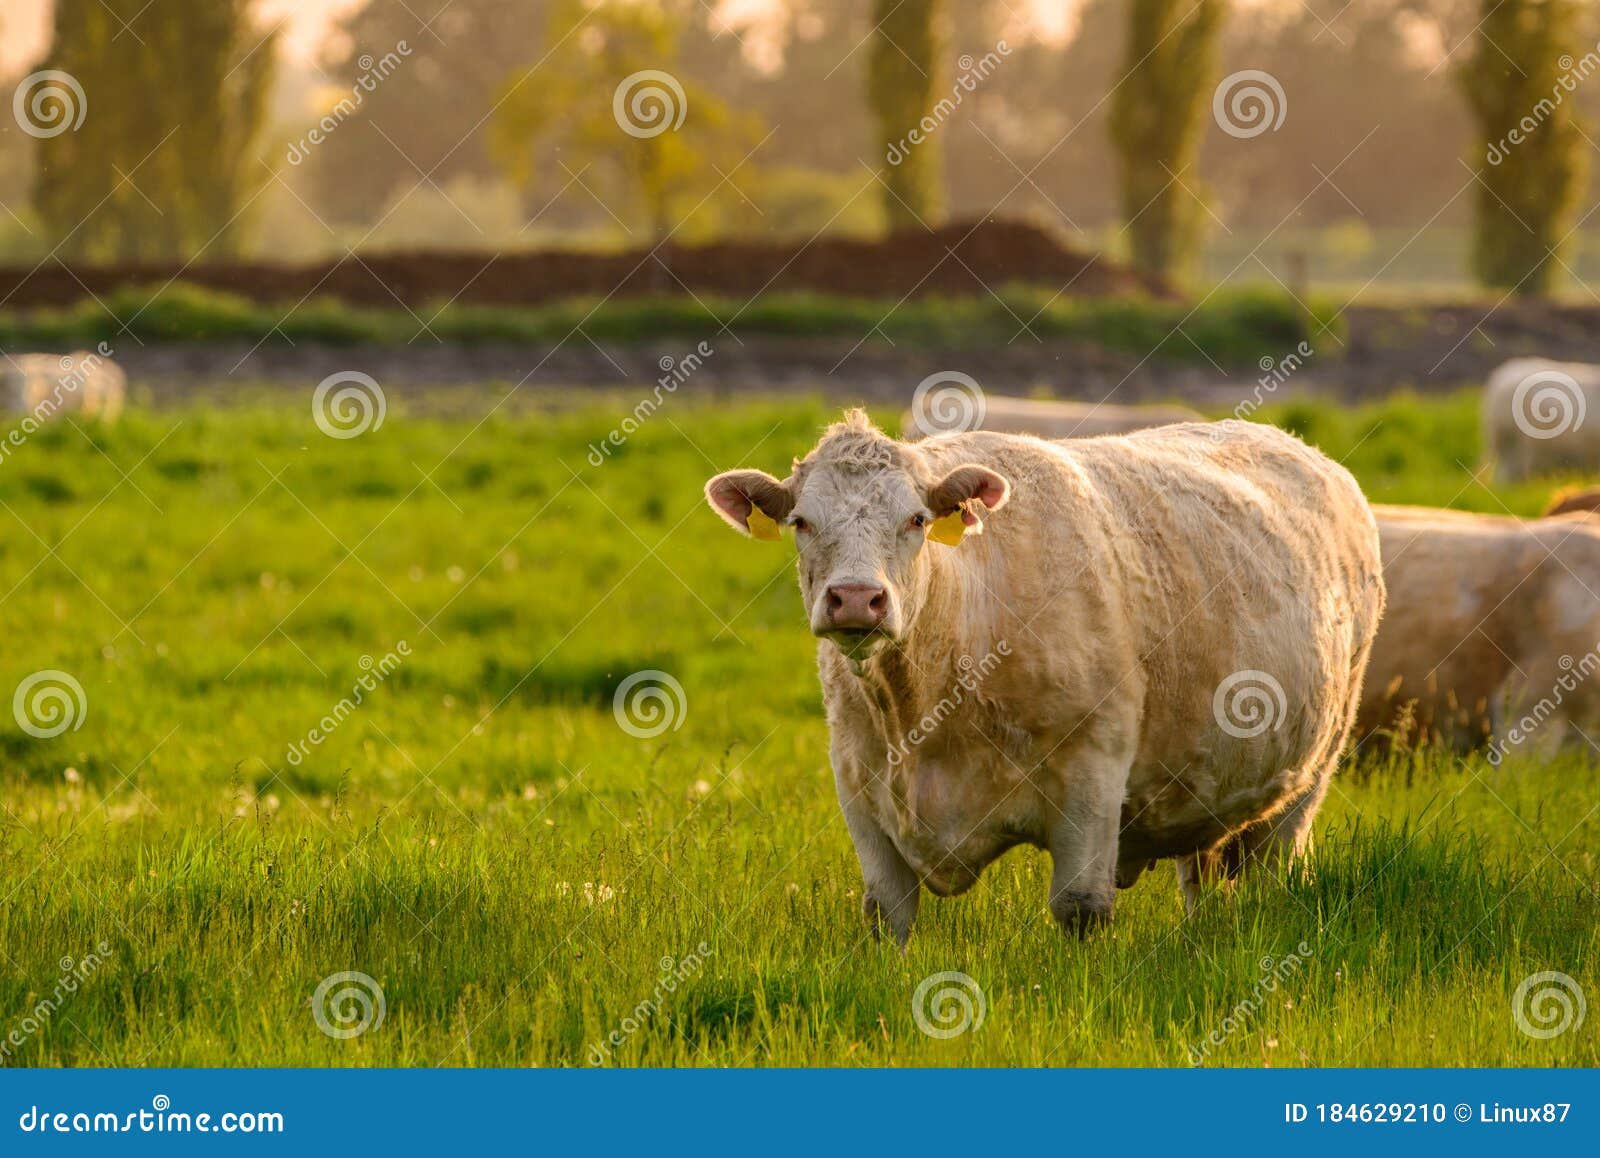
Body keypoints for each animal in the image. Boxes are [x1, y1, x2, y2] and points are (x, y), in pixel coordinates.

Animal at [704, 410, 1385, 943]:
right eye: (801, 522)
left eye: (917, 520)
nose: (854, 599)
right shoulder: (860, 782)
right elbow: (886, 915)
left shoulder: (1093, 771)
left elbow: (1080, 909)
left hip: (1309, 777)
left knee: (1276, 866)